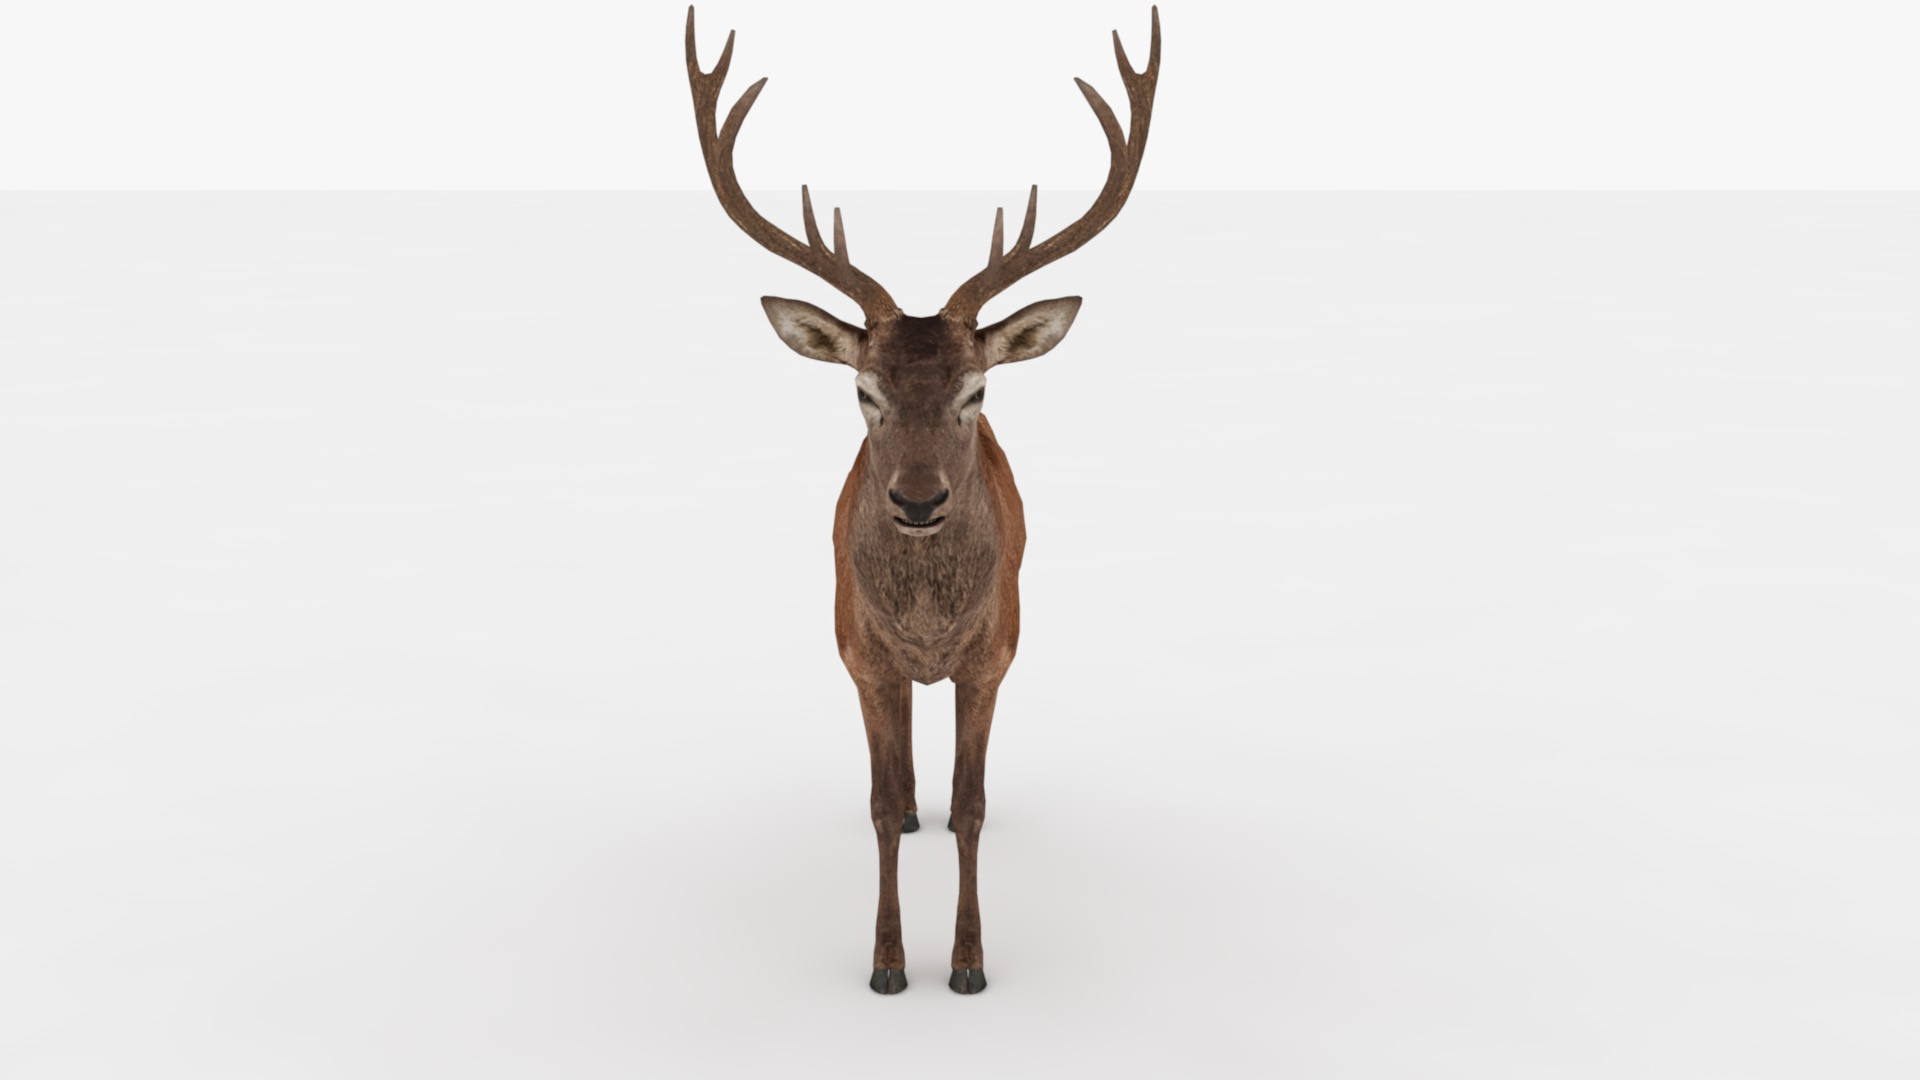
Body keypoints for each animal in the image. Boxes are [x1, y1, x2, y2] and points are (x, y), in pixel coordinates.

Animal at [684, 5, 1160, 995]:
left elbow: (970, 806)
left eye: (976, 390)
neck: (931, 622)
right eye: (864, 390)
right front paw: (887, 963)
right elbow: (875, 801)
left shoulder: (996, 654)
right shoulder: (860, 654)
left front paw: (969, 964)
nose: (914, 500)